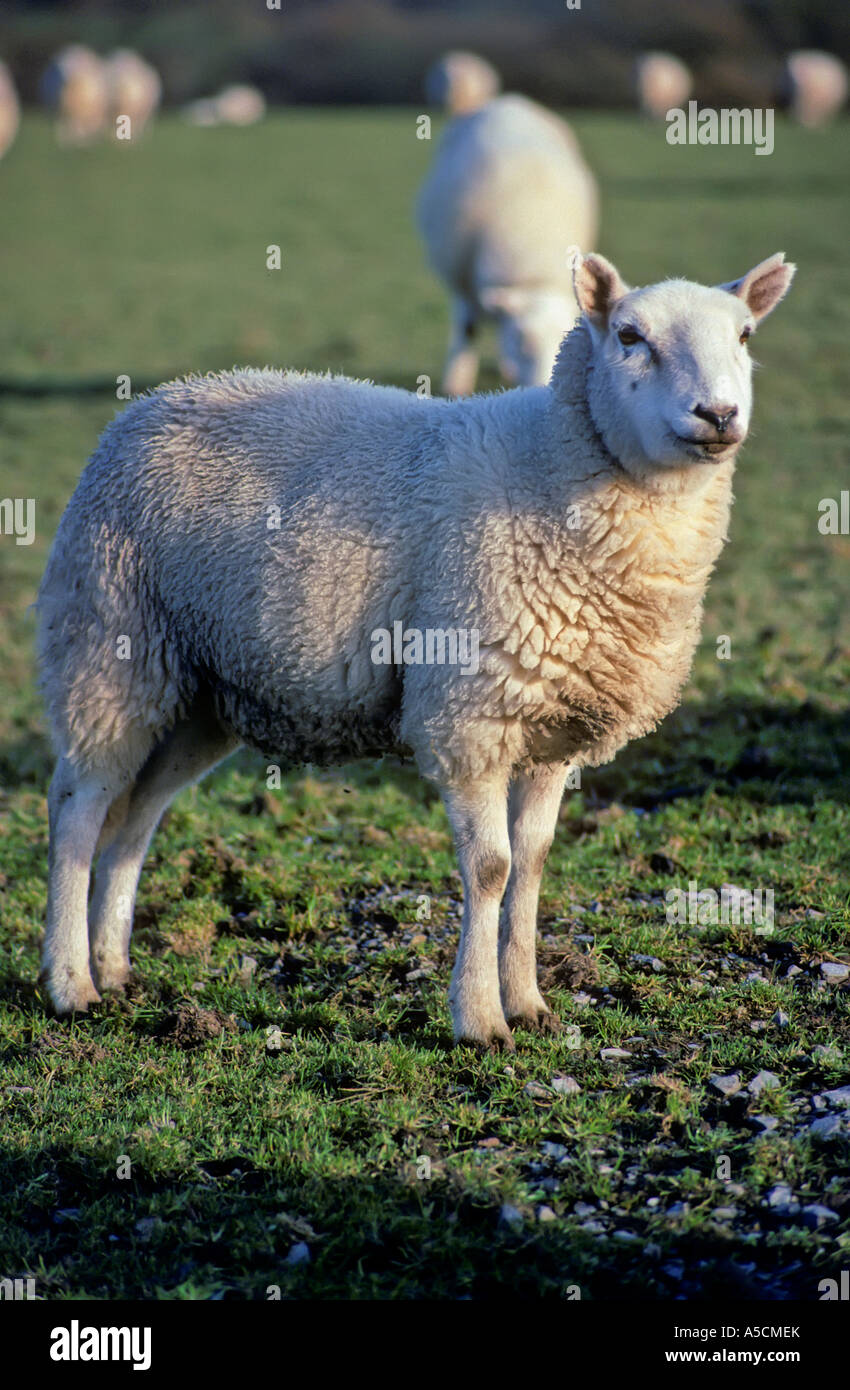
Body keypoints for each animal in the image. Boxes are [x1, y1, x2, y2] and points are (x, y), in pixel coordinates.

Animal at [36, 250, 794, 1048]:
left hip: (203, 691)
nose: (718, 415)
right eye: (629, 335)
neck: (548, 467)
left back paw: (115, 968)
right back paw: (71, 984)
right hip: (109, 644)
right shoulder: (471, 712)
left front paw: (529, 1002)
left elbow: (532, 864)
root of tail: (150, 405)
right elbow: (491, 868)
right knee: (78, 807)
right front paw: (480, 1018)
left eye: (745, 335)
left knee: (136, 816)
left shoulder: (554, 727)